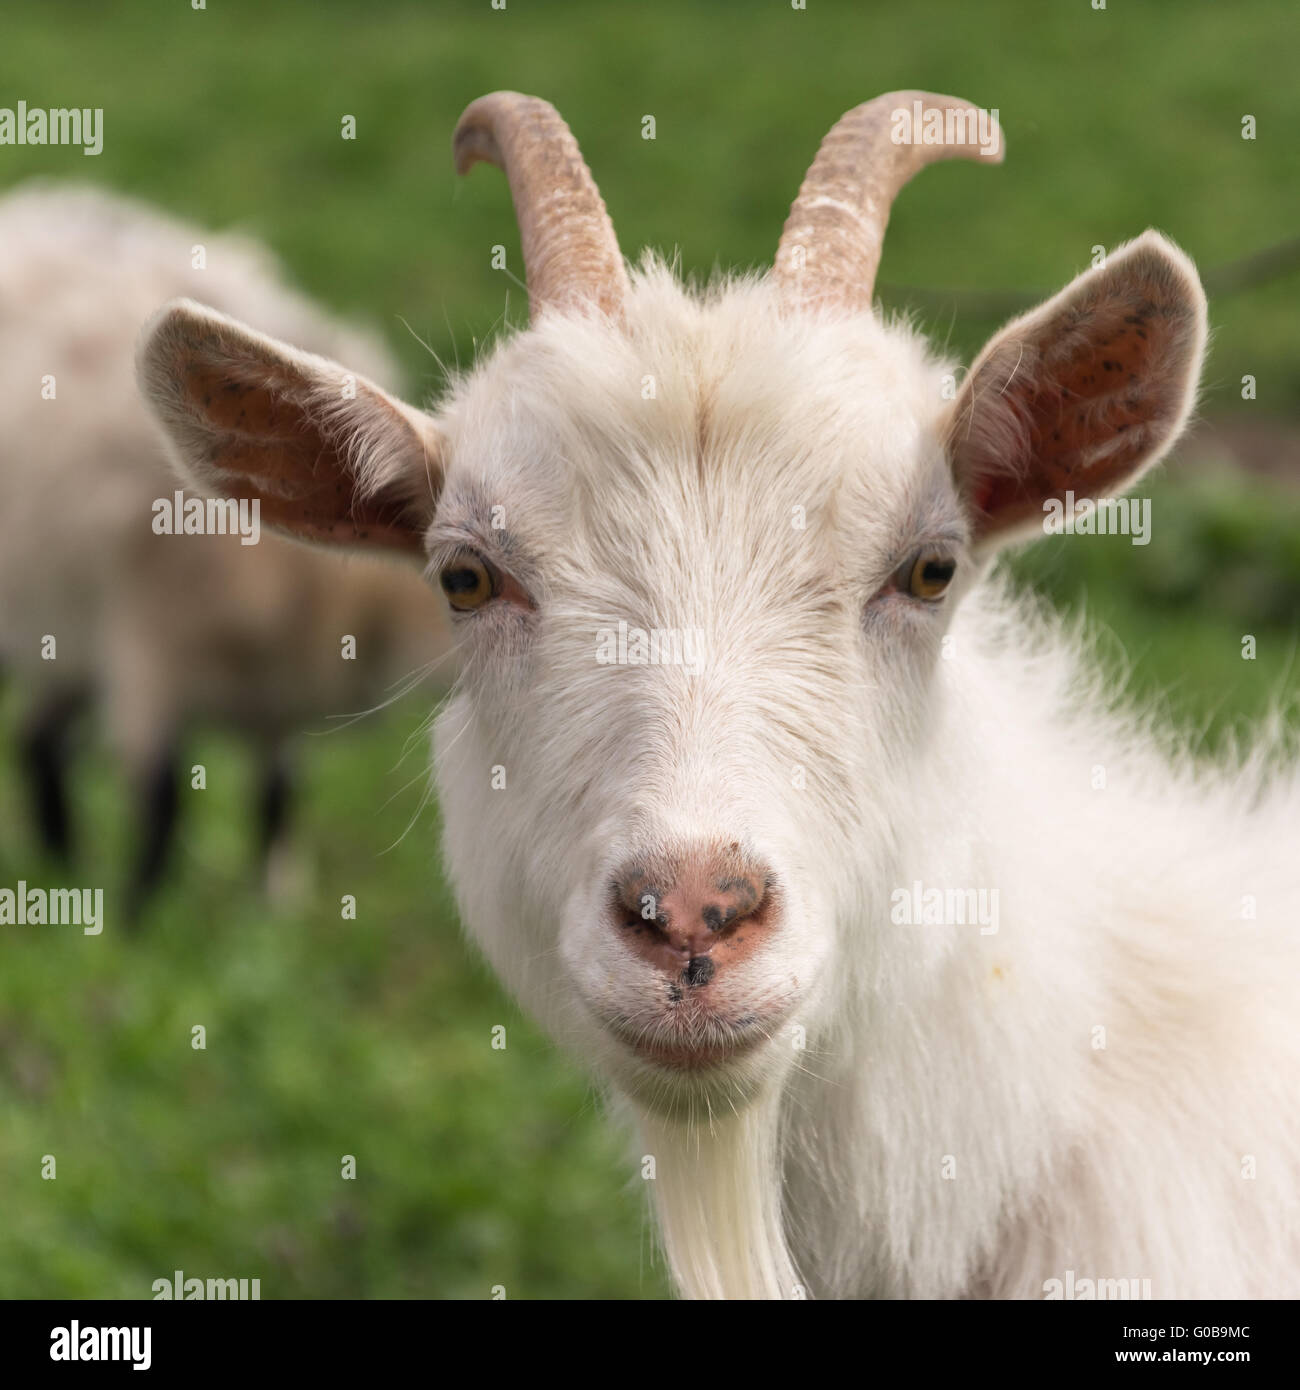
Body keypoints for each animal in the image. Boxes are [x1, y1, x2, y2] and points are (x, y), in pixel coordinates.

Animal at [0, 183, 449, 910]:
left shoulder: (278, 698)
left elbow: (276, 797)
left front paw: (272, 908)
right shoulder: (147, 647)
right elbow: (161, 802)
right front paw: (137, 918)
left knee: (38, 739)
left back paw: (60, 867)